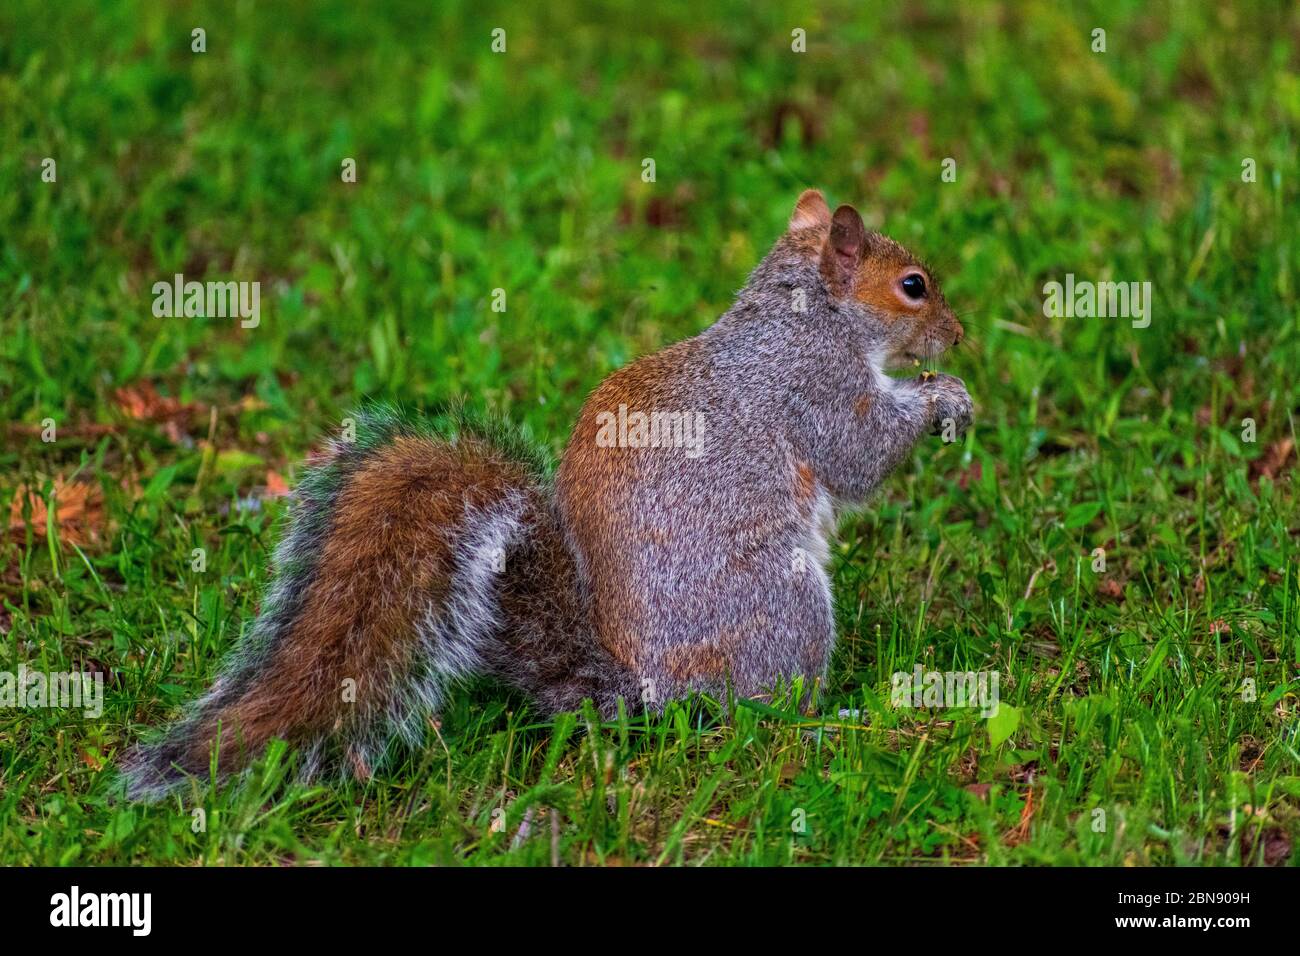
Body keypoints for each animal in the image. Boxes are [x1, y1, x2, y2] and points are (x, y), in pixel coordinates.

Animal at [120, 189, 971, 800]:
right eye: (913, 286)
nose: (959, 335)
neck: (806, 315)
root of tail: (642, 688)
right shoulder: (812, 388)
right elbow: (856, 452)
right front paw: (943, 399)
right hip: (786, 606)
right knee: (758, 710)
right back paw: (830, 719)